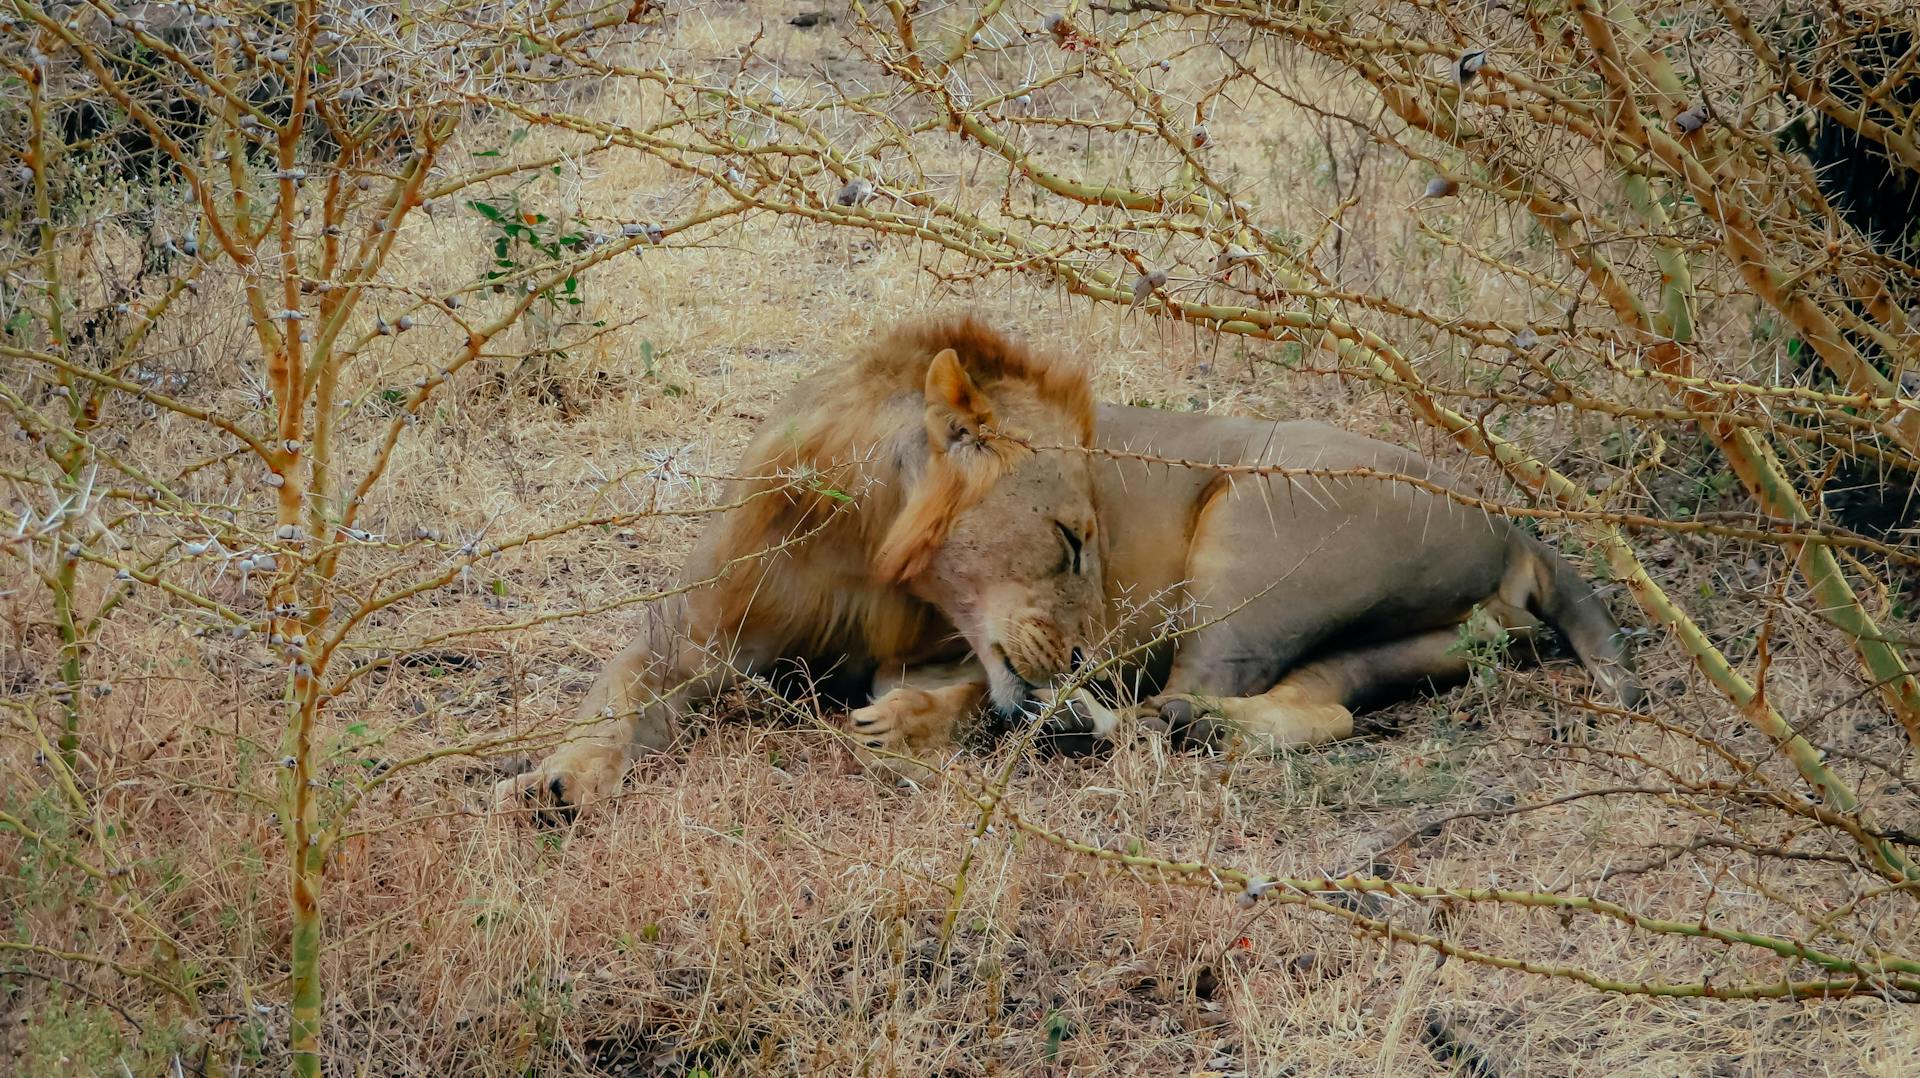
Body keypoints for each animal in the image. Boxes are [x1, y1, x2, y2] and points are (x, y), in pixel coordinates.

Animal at [497, 315, 1640, 814]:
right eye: (1070, 538)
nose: (1088, 654)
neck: (858, 550)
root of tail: (1519, 527)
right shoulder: (691, 633)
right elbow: (613, 693)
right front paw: (555, 777)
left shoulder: (963, 646)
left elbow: (971, 685)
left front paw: (903, 723)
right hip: (1404, 638)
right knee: (1321, 712)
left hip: (1255, 518)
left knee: (1158, 709)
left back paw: (1107, 726)